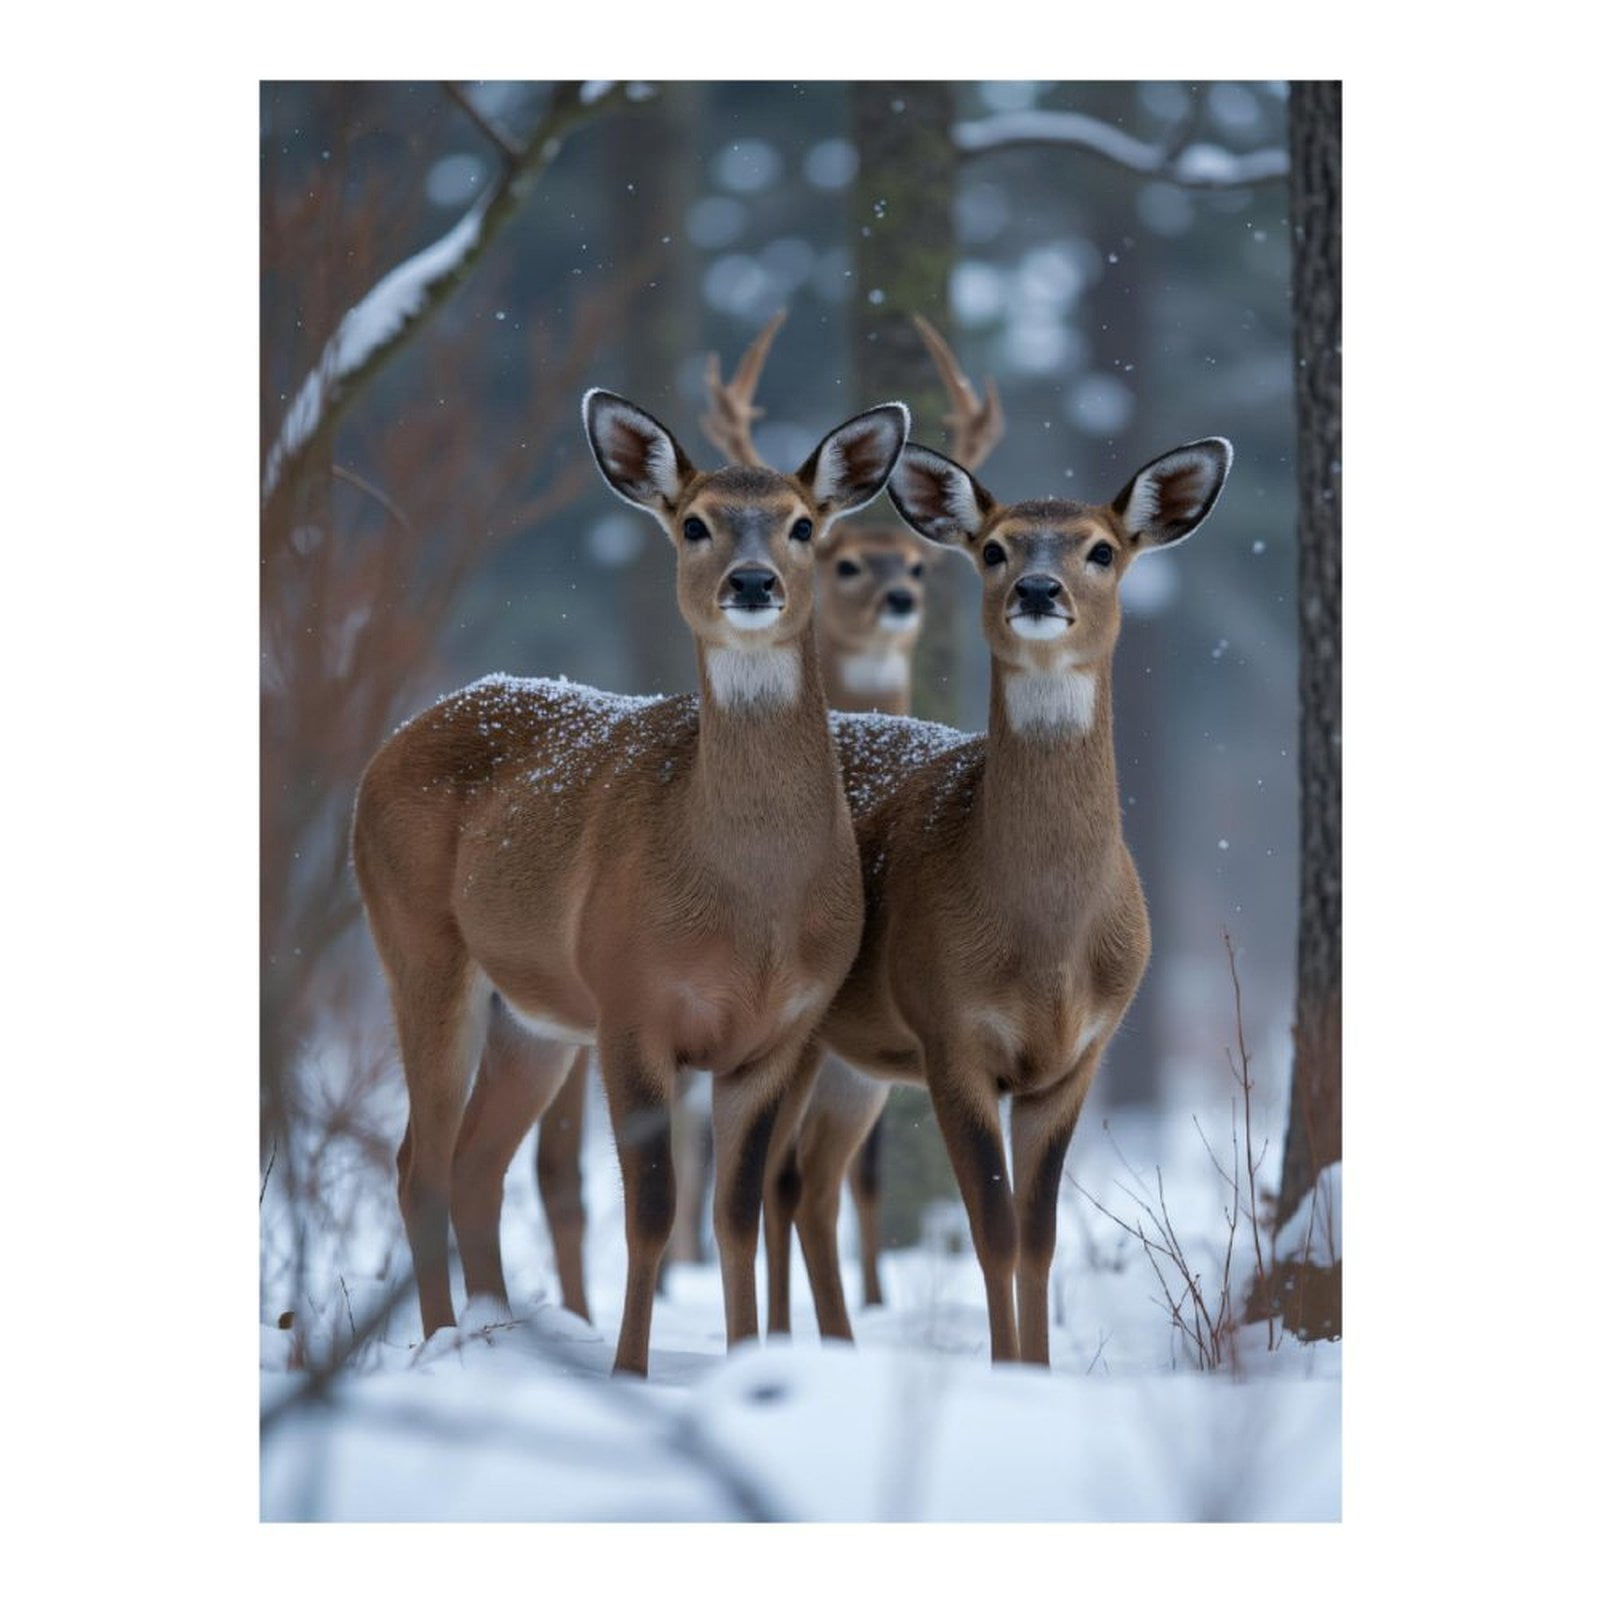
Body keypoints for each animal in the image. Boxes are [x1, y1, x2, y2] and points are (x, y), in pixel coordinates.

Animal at [351, 388, 909, 1376]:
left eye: (804, 524)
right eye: (694, 523)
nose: (752, 582)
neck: (752, 915)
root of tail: (391, 745)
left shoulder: (782, 1034)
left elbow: (734, 1213)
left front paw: (745, 1359)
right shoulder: (632, 1004)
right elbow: (652, 1209)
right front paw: (629, 1370)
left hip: (533, 1018)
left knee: (476, 1162)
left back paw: (501, 1335)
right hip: (418, 943)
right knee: (421, 1160)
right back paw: (446, 1341)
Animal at [763, 387, 1232, 1365]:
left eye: (1101, 548)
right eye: (992, 547)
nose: (1039, 590)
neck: (1045, 943)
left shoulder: (1079, 1056)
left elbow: (1040, 1235)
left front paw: (1039, 1371)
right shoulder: (951, 1034)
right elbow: (993, 1230)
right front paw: (1009, 1370)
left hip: (855, 1055)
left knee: (810, 1183)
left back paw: (833, 1346)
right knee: (762, 1183)